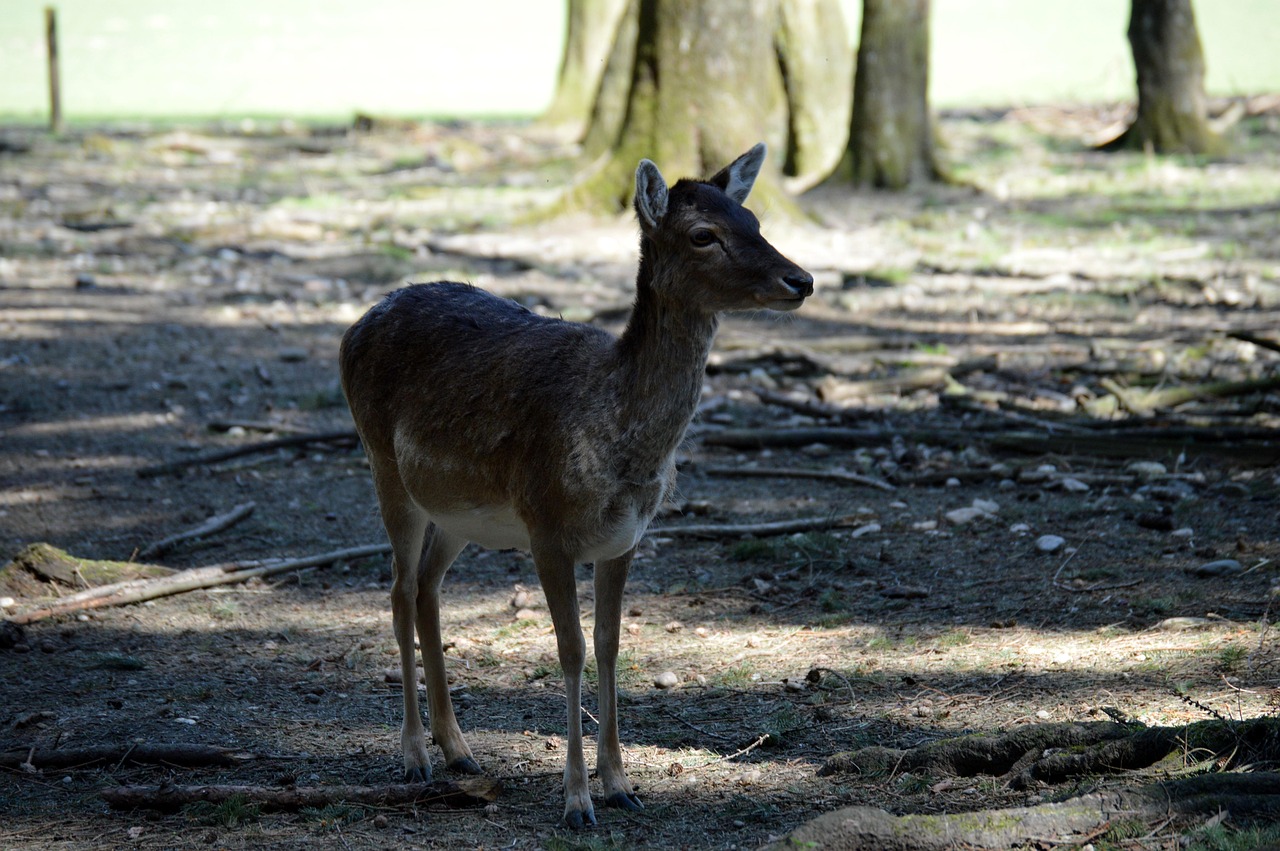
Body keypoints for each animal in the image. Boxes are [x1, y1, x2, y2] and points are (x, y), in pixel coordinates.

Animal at [338, 143, 812, 828]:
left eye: (753, 221)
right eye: (704, 234)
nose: (801, 281)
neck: (620, 447)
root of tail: (353, 327)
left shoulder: (626, 538)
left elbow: (612, 645)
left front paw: (621, 784)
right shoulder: (547, 527)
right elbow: (571, 649)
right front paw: (576, 800)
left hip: (457, 513)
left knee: (427, 588)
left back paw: (459, 749)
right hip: (384, 465)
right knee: (400, 591)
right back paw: (413, 755)